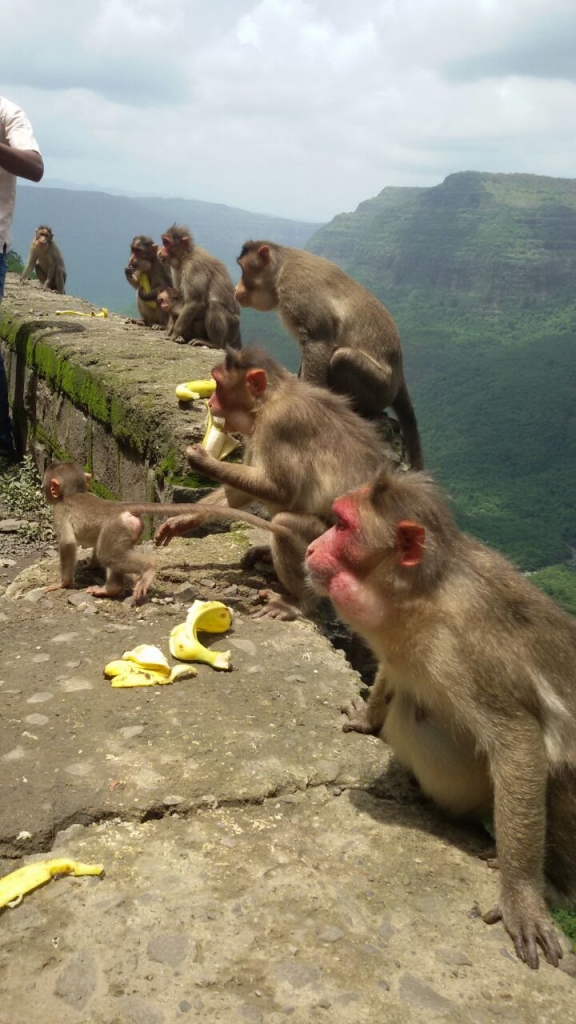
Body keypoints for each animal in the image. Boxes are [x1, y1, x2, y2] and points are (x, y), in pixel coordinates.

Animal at [43, 460, 287, 604]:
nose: (45, 492)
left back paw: (148, 569)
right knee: (111, 552)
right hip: (125, 529)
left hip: (116, 527)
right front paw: (90, 565)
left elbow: (67, 543)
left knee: (109, 554)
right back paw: (111, 589)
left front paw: (63, 583)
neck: (73, 493)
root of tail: (120, 508)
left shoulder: (60, 512)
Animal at [154, 346, 396, 619]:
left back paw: (299, 602)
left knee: (285, 525)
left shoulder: (279, 424)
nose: (211, 402)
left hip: (339, 552)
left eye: (219, 384)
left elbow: (280, 490)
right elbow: (239, 494)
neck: (270, 400)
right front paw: (183, 519)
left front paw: (200, 459)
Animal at [235, 241, 424, 470]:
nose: (236, 288)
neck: (281, 269)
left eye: (244, 270)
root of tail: (399, 374)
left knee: (341, 358)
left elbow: (319, 342)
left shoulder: (296, 292)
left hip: (380, 389)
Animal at [304, 467, 576, 970]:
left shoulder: (467, 652)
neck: (418, 598)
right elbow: (391, 676)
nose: (312, 547)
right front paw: (366, 717)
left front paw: (522, 897)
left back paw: (553, 886)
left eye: (342, 526)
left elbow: (519, 744)